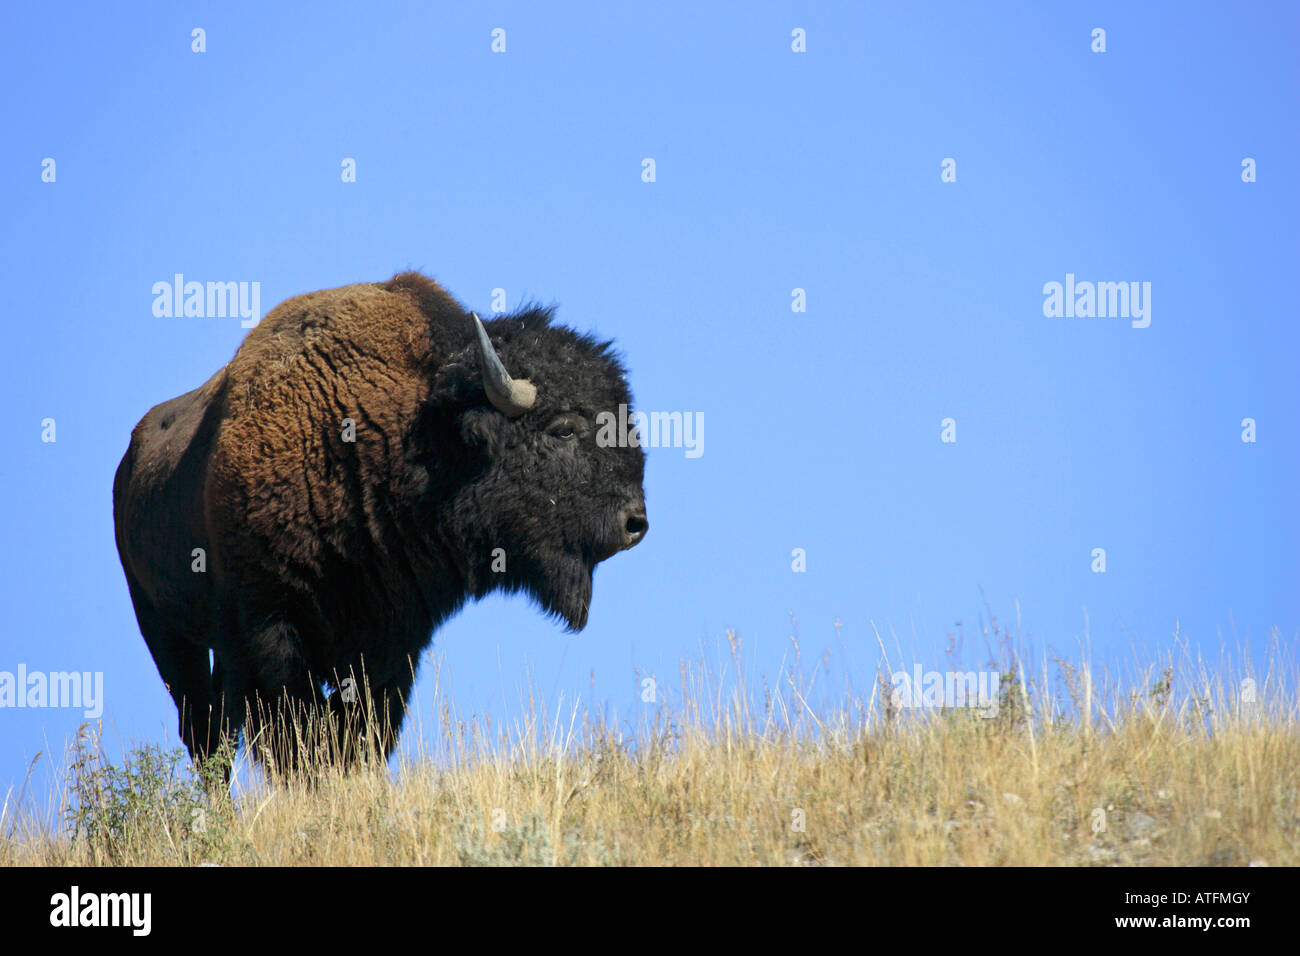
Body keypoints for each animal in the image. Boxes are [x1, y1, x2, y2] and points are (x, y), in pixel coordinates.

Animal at [113, 272, 648, 772]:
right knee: (202, 735)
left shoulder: (393, 643)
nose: (635, 523)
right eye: (563, 429)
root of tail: (128, 465)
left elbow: (360, 733)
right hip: (164, 632)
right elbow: (295, 736)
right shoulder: (270, 631)